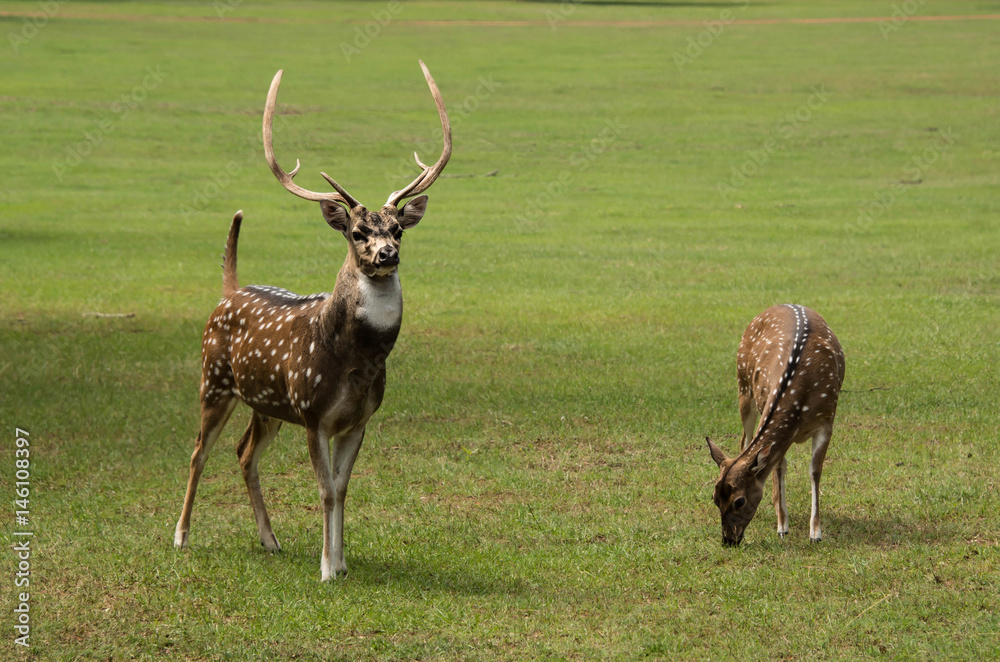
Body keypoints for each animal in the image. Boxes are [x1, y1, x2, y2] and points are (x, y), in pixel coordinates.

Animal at [173, 61, 451, 581]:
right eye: (358, 232)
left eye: (398, 229)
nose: (387, 254)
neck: (355, 361)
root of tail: (228, 292)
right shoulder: (312, 412)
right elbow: (323, 489)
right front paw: (325, 569)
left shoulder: (359, 418)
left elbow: (342, 488)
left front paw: (341, 564)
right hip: (213, 380)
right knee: (199, 450)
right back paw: (179, 536)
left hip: (265, 404)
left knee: (243, 453)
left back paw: (270, 540)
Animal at [706, 304, 845, 547]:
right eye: (714, 498)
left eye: (739, 501)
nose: (729, 540)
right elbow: (779, 467)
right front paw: (782, 527)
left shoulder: (827, 422)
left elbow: (814, 472)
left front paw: (815, 533)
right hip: (744, 388)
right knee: (745, 441)